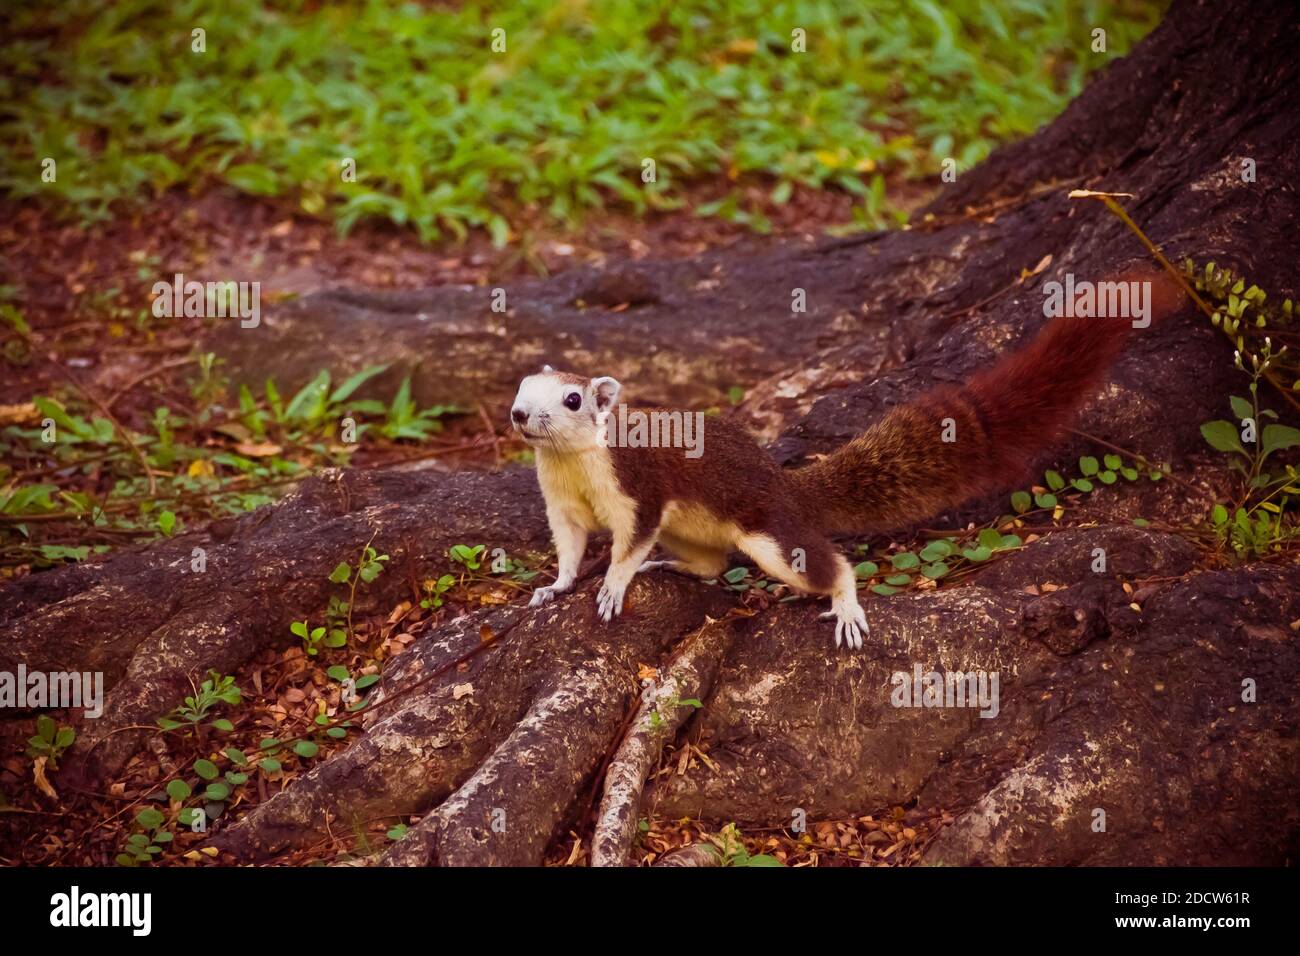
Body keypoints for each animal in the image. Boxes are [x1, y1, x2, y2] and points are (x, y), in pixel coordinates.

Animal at [511, 270, 1181, 648]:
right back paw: (670, 567)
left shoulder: (639, 490)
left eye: (572, 399)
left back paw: (846, 606)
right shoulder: (561, 506)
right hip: (699, 532)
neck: (571, 463)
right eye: (521, 386)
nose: (519, 416)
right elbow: (569, 548)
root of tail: (787, 487)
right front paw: (556, 587)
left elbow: (627, 543)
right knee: (709, 565)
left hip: (768, 534)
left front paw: (613, 585)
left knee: (827, 564)